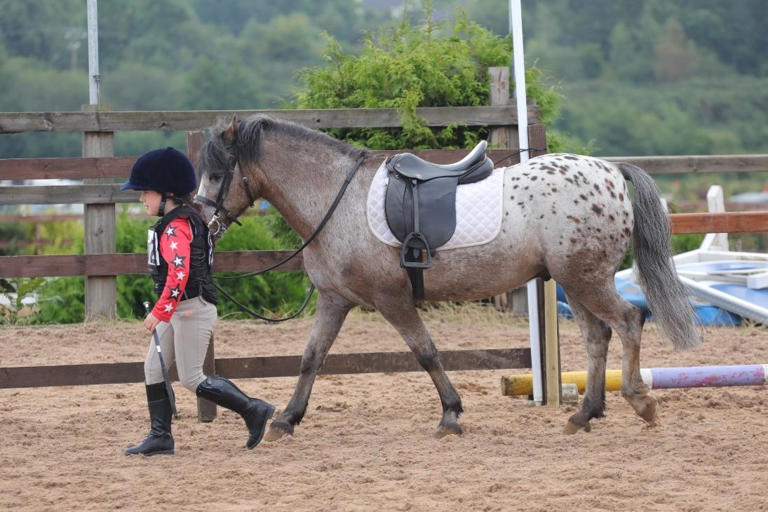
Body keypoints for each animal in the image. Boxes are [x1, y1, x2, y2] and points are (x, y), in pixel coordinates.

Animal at [194, 114, 700, 439]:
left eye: (218, 173)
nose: (202, 221)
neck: (337, 202)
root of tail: (610, 170)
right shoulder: (335, 301)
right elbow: (311, 358)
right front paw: (286, 419)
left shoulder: (392, 300)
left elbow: (426, 353)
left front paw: (451, 415)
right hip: (574, 283)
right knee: (598, 337)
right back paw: (585, 414)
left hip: (587, 280)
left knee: (629, 322)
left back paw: (638, 400)